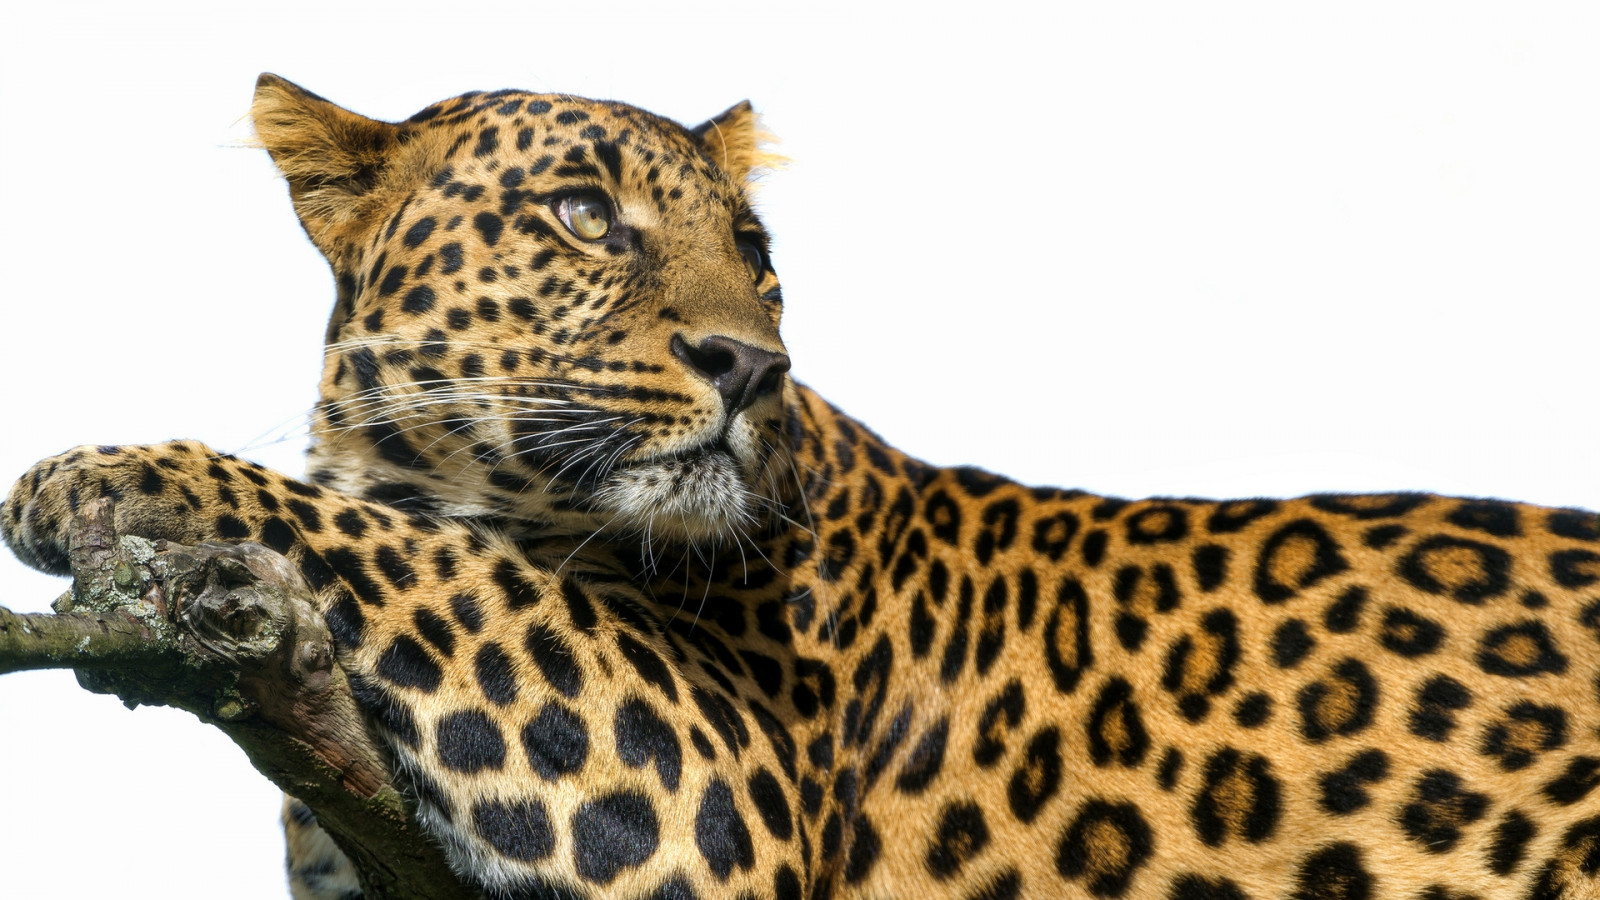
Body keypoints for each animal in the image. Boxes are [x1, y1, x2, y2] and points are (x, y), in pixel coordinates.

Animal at [6, 74, 1600, 900]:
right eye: (584, 214)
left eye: (756, 252)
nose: (750, 365)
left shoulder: (719, 779)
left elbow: (423, 553)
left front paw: (103, 475)